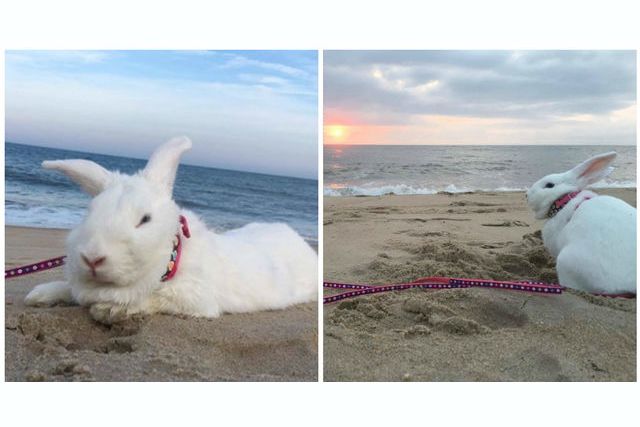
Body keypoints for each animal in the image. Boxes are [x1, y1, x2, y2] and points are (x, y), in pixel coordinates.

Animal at [24, 137, 318, 324]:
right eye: (89, 212)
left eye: (145, 219)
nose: (92, 258)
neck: (170, 261)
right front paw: (38, 295)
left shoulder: (194, 300)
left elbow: (155, 301)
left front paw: (109, 310)